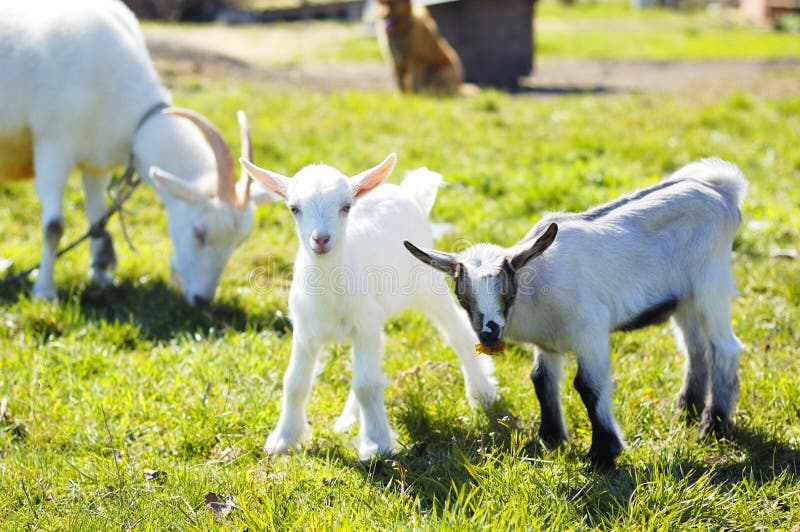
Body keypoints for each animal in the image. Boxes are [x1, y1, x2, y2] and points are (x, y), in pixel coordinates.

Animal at [0, 0, 273, 305]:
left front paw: (101, 277)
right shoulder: (52, 146)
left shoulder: (96, 161)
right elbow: (53, 227)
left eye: (239, 242)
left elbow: (97, 222)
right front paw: (45, 291)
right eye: (199, 232)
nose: (202, 300)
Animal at [240, 154, 498, 459]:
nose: (321, 239)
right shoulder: (306, 330)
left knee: (457, 332)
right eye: (294, 208)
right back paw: (347, 420)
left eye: (345, 207)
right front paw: (284, 440)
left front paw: (377, 444)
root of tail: (408, 192)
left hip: (427, 285)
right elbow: (294, 382)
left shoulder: (363, 325)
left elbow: (366, 384)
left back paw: (482, 392)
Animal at [404, 158, 747, 469]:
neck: (536, 281)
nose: (489, 334)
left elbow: (588, 385)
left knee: (724, 347)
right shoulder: (547, 343)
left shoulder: (591, 332)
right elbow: (541, 379)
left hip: (710, 285)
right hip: (683, 301)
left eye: (507, 289)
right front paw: (552, 440)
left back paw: (712, 426)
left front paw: (602, 455)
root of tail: (721, 192)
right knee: (696, 349)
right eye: (462, 296)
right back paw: (685, 411)